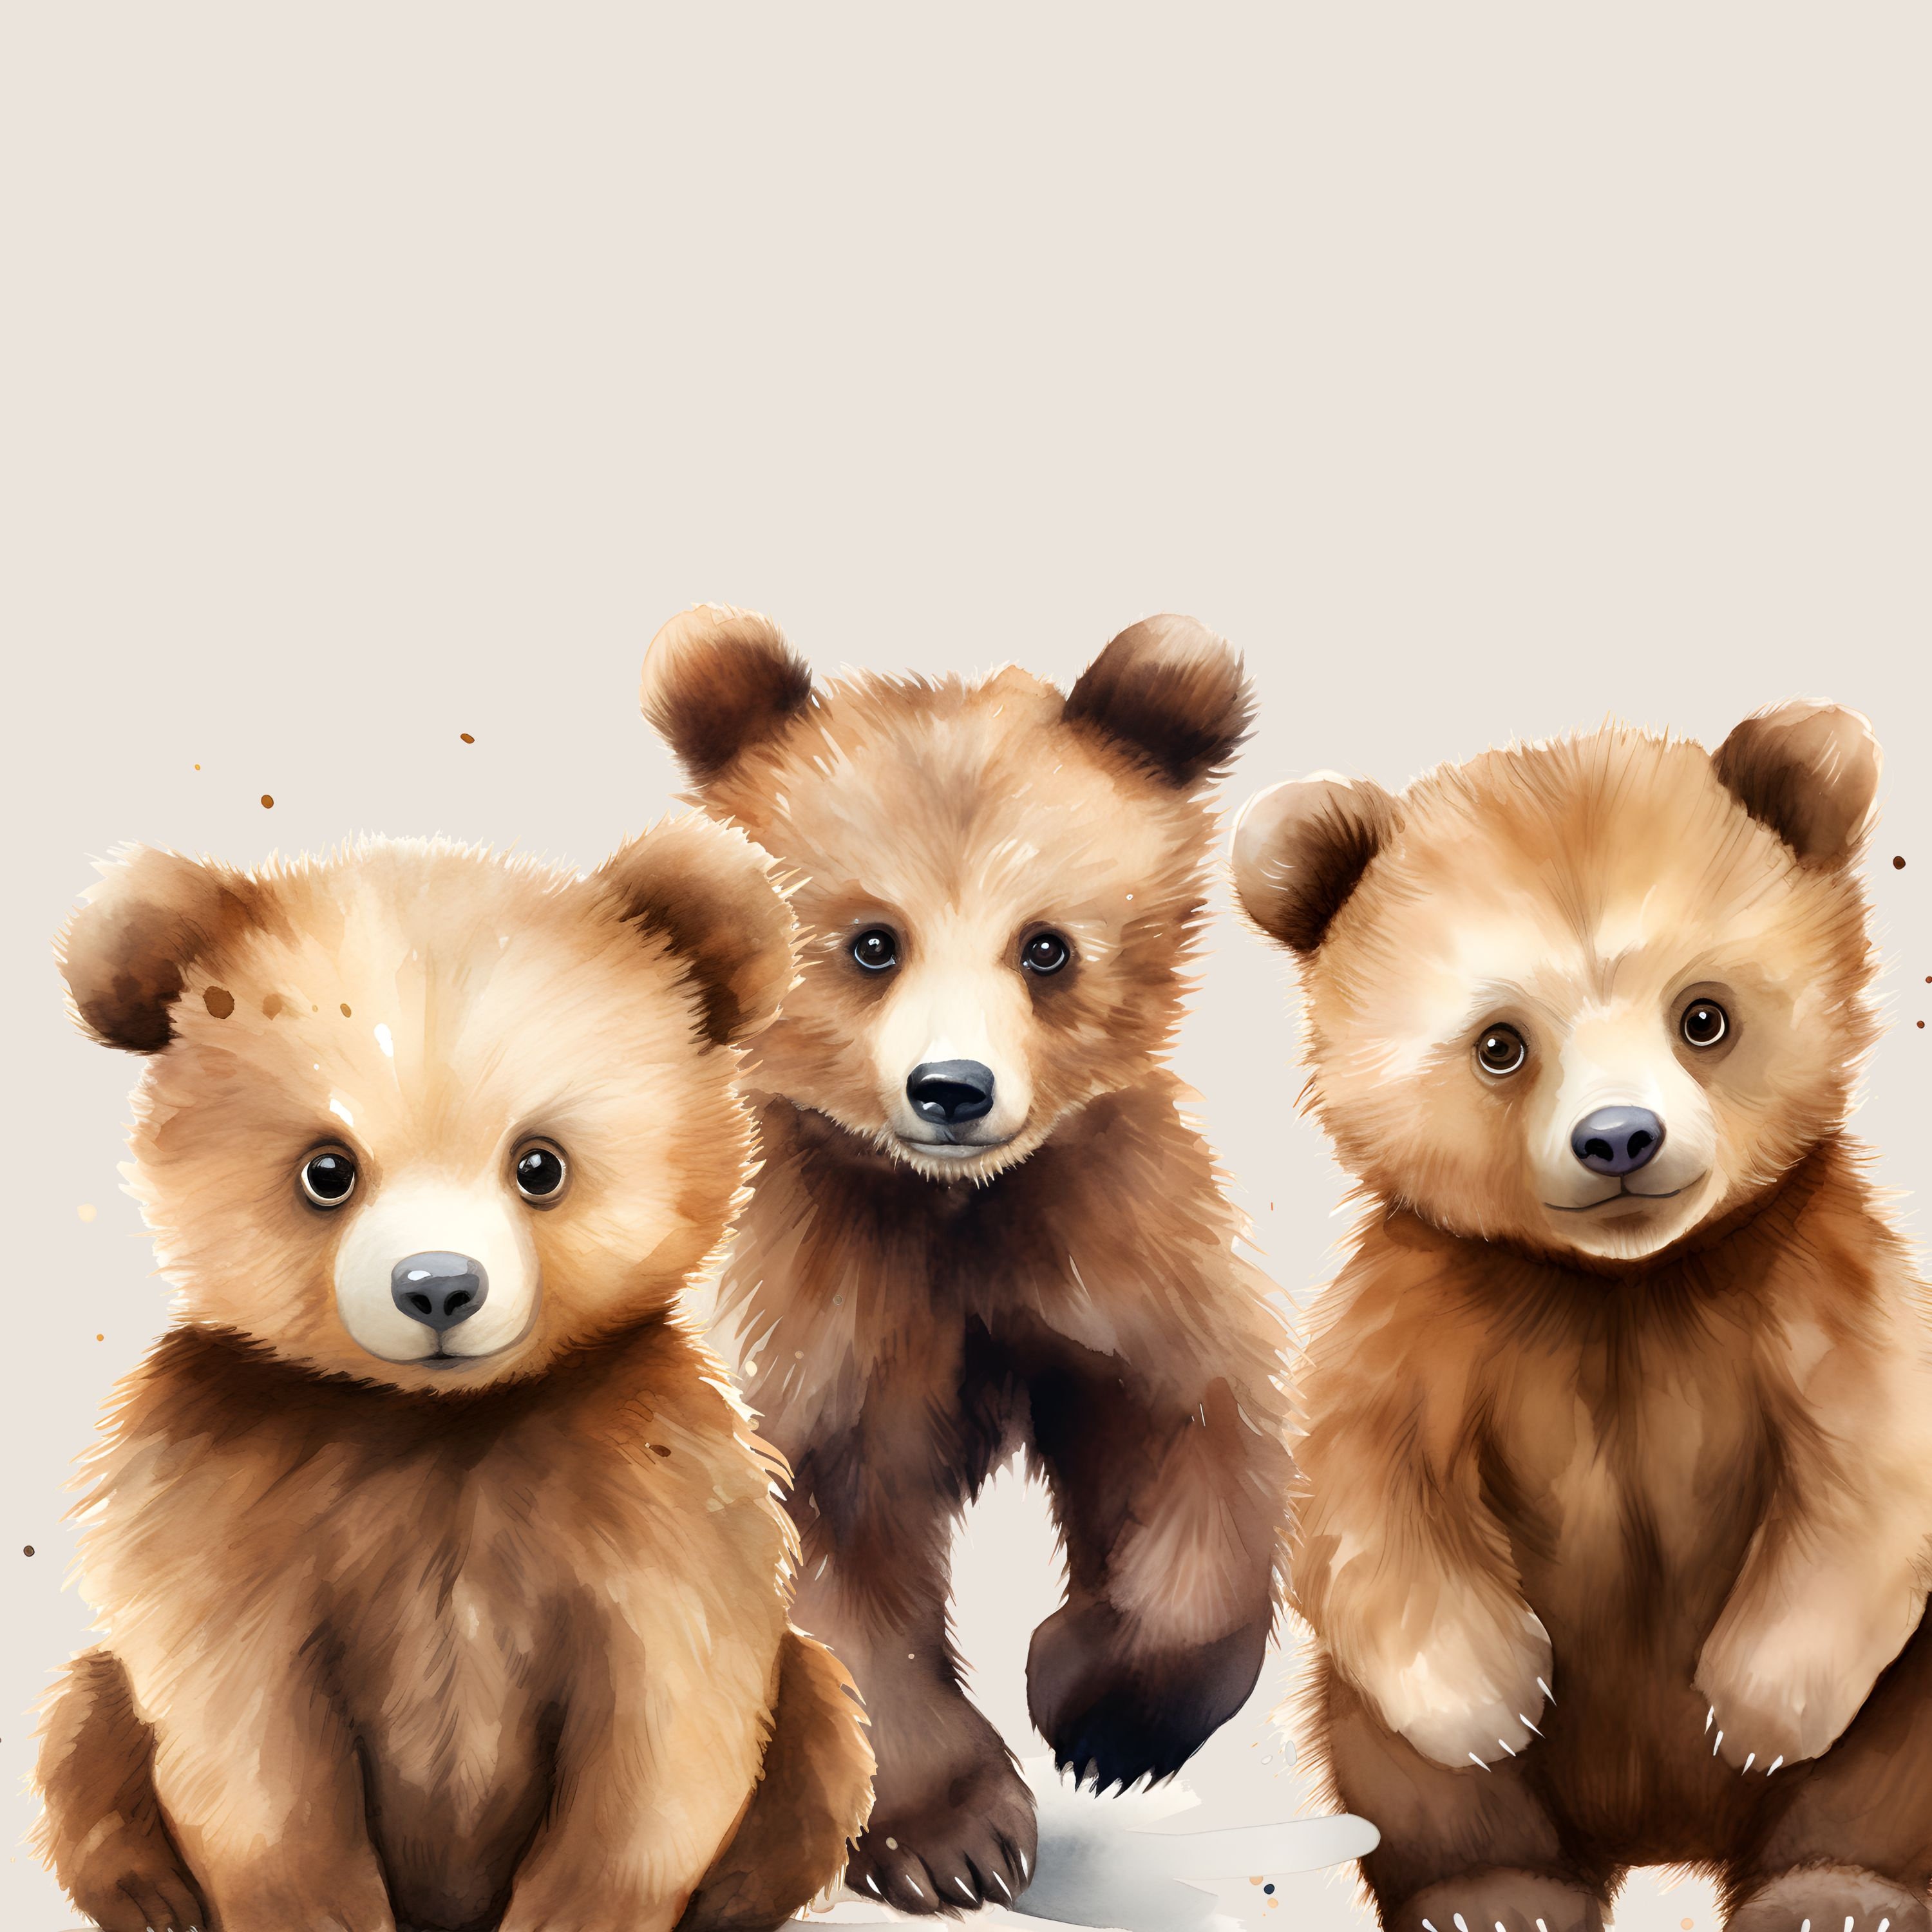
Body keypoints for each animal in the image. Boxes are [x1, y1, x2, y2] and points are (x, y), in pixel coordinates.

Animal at [33, 821, 875, 1932]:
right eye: (328, 1170)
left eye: (539, 1164)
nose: (439, 1288)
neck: (440, 1422)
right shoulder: (234, 1489)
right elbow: (247, 1737)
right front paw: (313, 1907)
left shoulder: (652, 1490)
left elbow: (663, 1725)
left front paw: (580, 1909)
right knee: (86, 1716)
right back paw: (148, 1895)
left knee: (819, 1709)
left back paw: (736, 1901)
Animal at [637, 603, 1298, 1916]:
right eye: (870, 942)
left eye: (1046, 948)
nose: (952, 1088)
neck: (948, 1210)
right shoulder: (809, 1292)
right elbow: (825, 1551)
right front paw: (956, 1835)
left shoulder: (1102, 1237)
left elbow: (1191, 1428)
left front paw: (1099, 1708)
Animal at [1230, 703, 1932, 1932]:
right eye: (1500, 1042)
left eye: (1704, 1015)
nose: (1618, 1139)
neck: (1620, 1286)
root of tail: (1661, 1838)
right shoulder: (1430, 1307)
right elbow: (1357, 1485)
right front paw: (1494, 1699)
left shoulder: (1805, 1283)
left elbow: (1875, 1456)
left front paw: (1753, 1712)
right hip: (1375, 1724)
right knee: (1409, 1779)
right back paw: (1494, 1894)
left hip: (1909, 1697)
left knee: (1885, 1761)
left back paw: (1835, 1890)